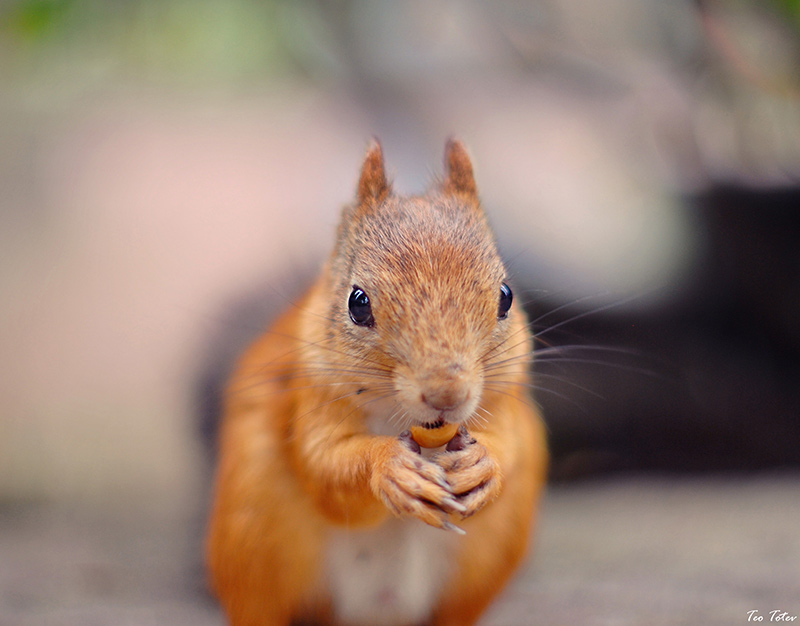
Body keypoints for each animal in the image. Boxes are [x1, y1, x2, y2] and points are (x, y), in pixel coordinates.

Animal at [206, 139, 548, 626]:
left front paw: (486, 466)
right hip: (253, 538)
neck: (400, 417)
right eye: (358, 303)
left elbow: (510, 445)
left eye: (506, 297)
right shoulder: (312, 397)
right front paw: (389, 467)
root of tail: (378, 611)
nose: (447, 393)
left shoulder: (503, 399)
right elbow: (324, 466)